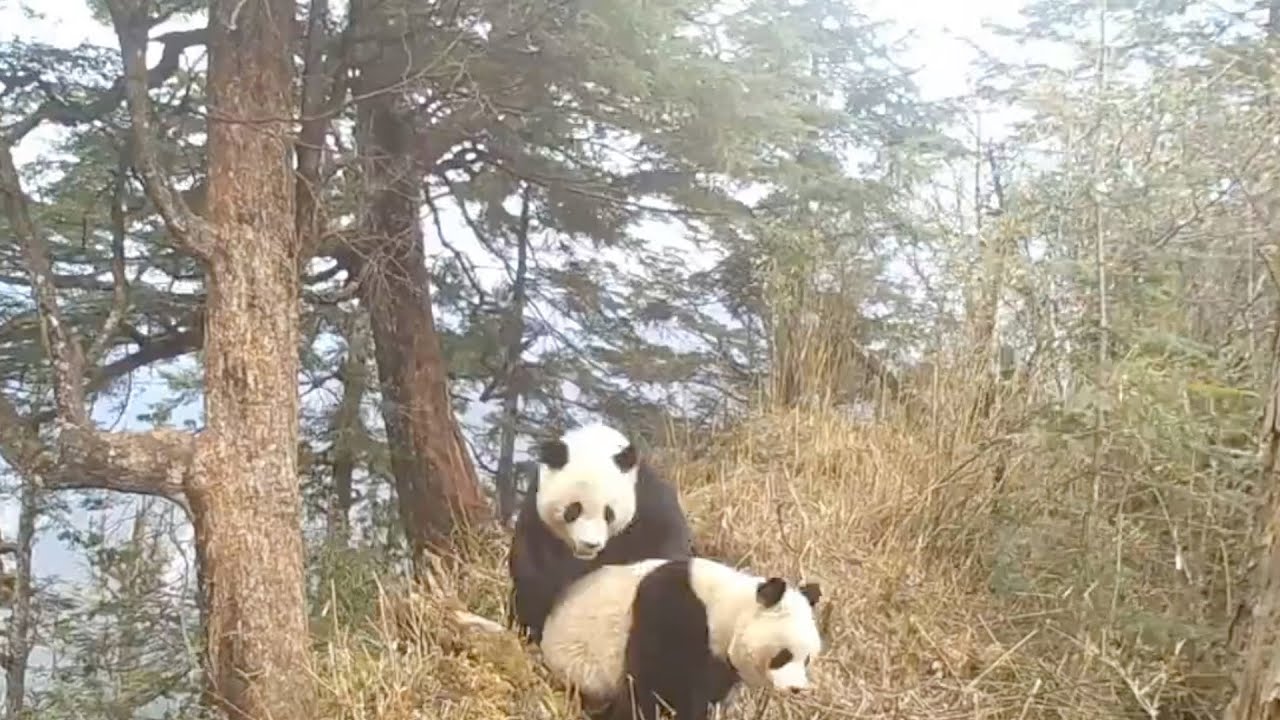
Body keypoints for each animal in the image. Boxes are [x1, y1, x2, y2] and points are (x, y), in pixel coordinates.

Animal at [507, 423, 693, 644]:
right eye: (573, 510)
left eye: (608, 513)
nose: (590, 544)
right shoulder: (537, 512)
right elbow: (532, 562)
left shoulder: (647, 500)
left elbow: (665, 545)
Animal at [539, 557, 823, 720]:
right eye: (783, 655)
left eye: (807, 659)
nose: (796, 688)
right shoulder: (672, 612)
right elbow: (652, 679)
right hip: (580, 664)